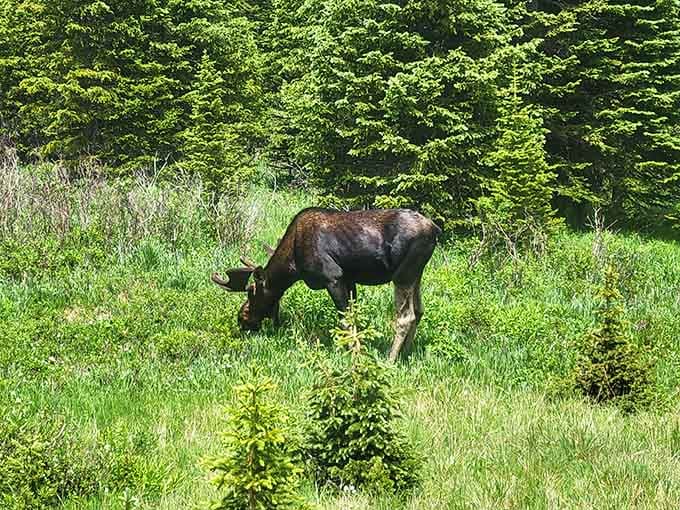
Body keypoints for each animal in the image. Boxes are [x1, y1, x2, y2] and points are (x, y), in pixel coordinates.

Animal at [211, 207, 441, 361]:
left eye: (251, 292)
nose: (241, 318)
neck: (293, 263)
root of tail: (435, 230)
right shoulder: (349, 279)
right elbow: (353, 319)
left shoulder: (334, 277)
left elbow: (345, 321)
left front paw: (354, 354)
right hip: (416, 274)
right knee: (419, 310)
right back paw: (406, 352)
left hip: (403, 274)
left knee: (405, 316)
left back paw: (391, 358)